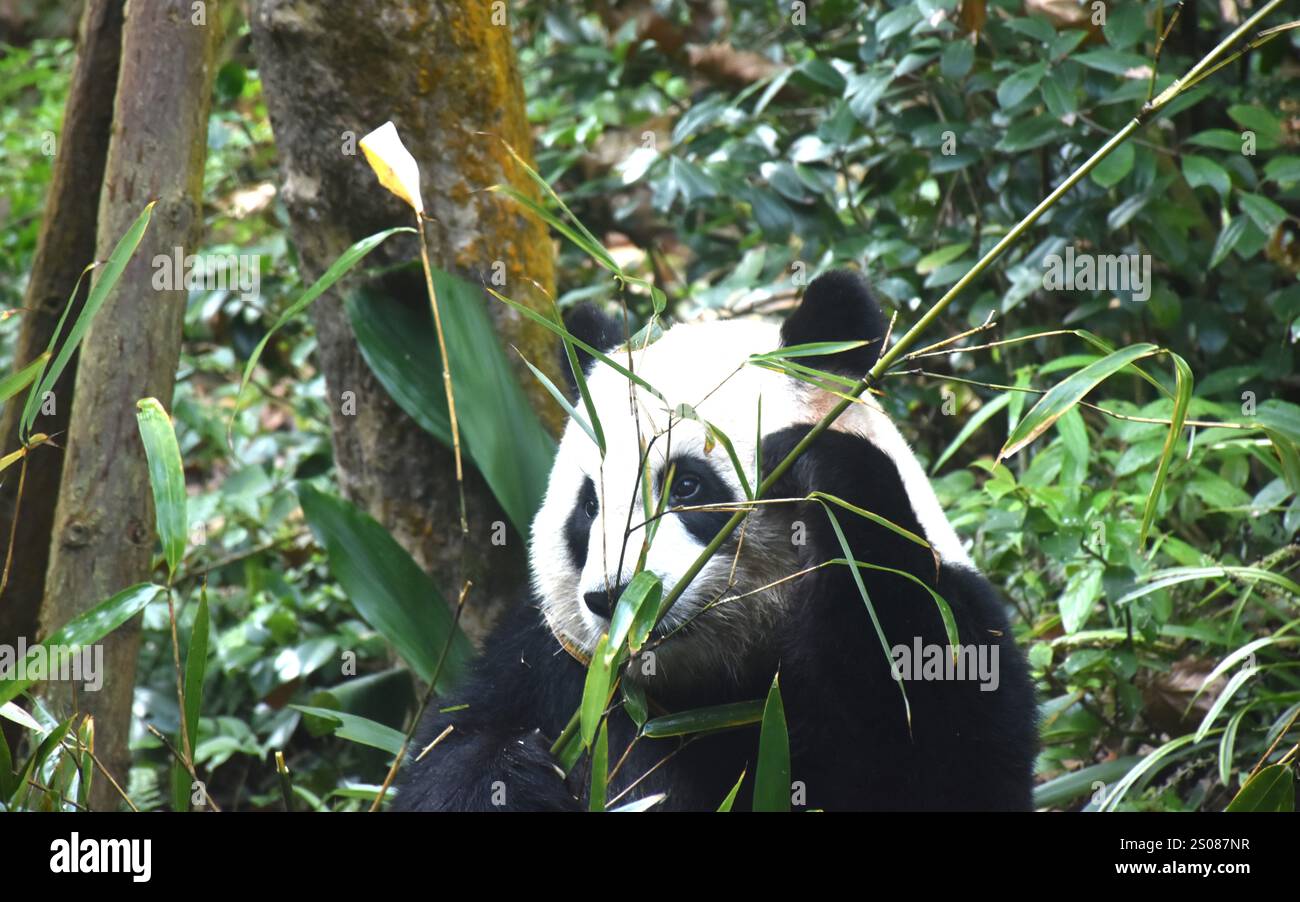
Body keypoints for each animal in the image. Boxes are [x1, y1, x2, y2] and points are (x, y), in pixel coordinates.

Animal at [394, 269, 1038, 812]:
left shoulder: (949, 629)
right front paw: (516, 772)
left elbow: (945, 752)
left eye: (687, 485)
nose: (615, 599)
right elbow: (453, 749)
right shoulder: (550, 665)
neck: (708, 689)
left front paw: (821, 467)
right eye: (589, 506)